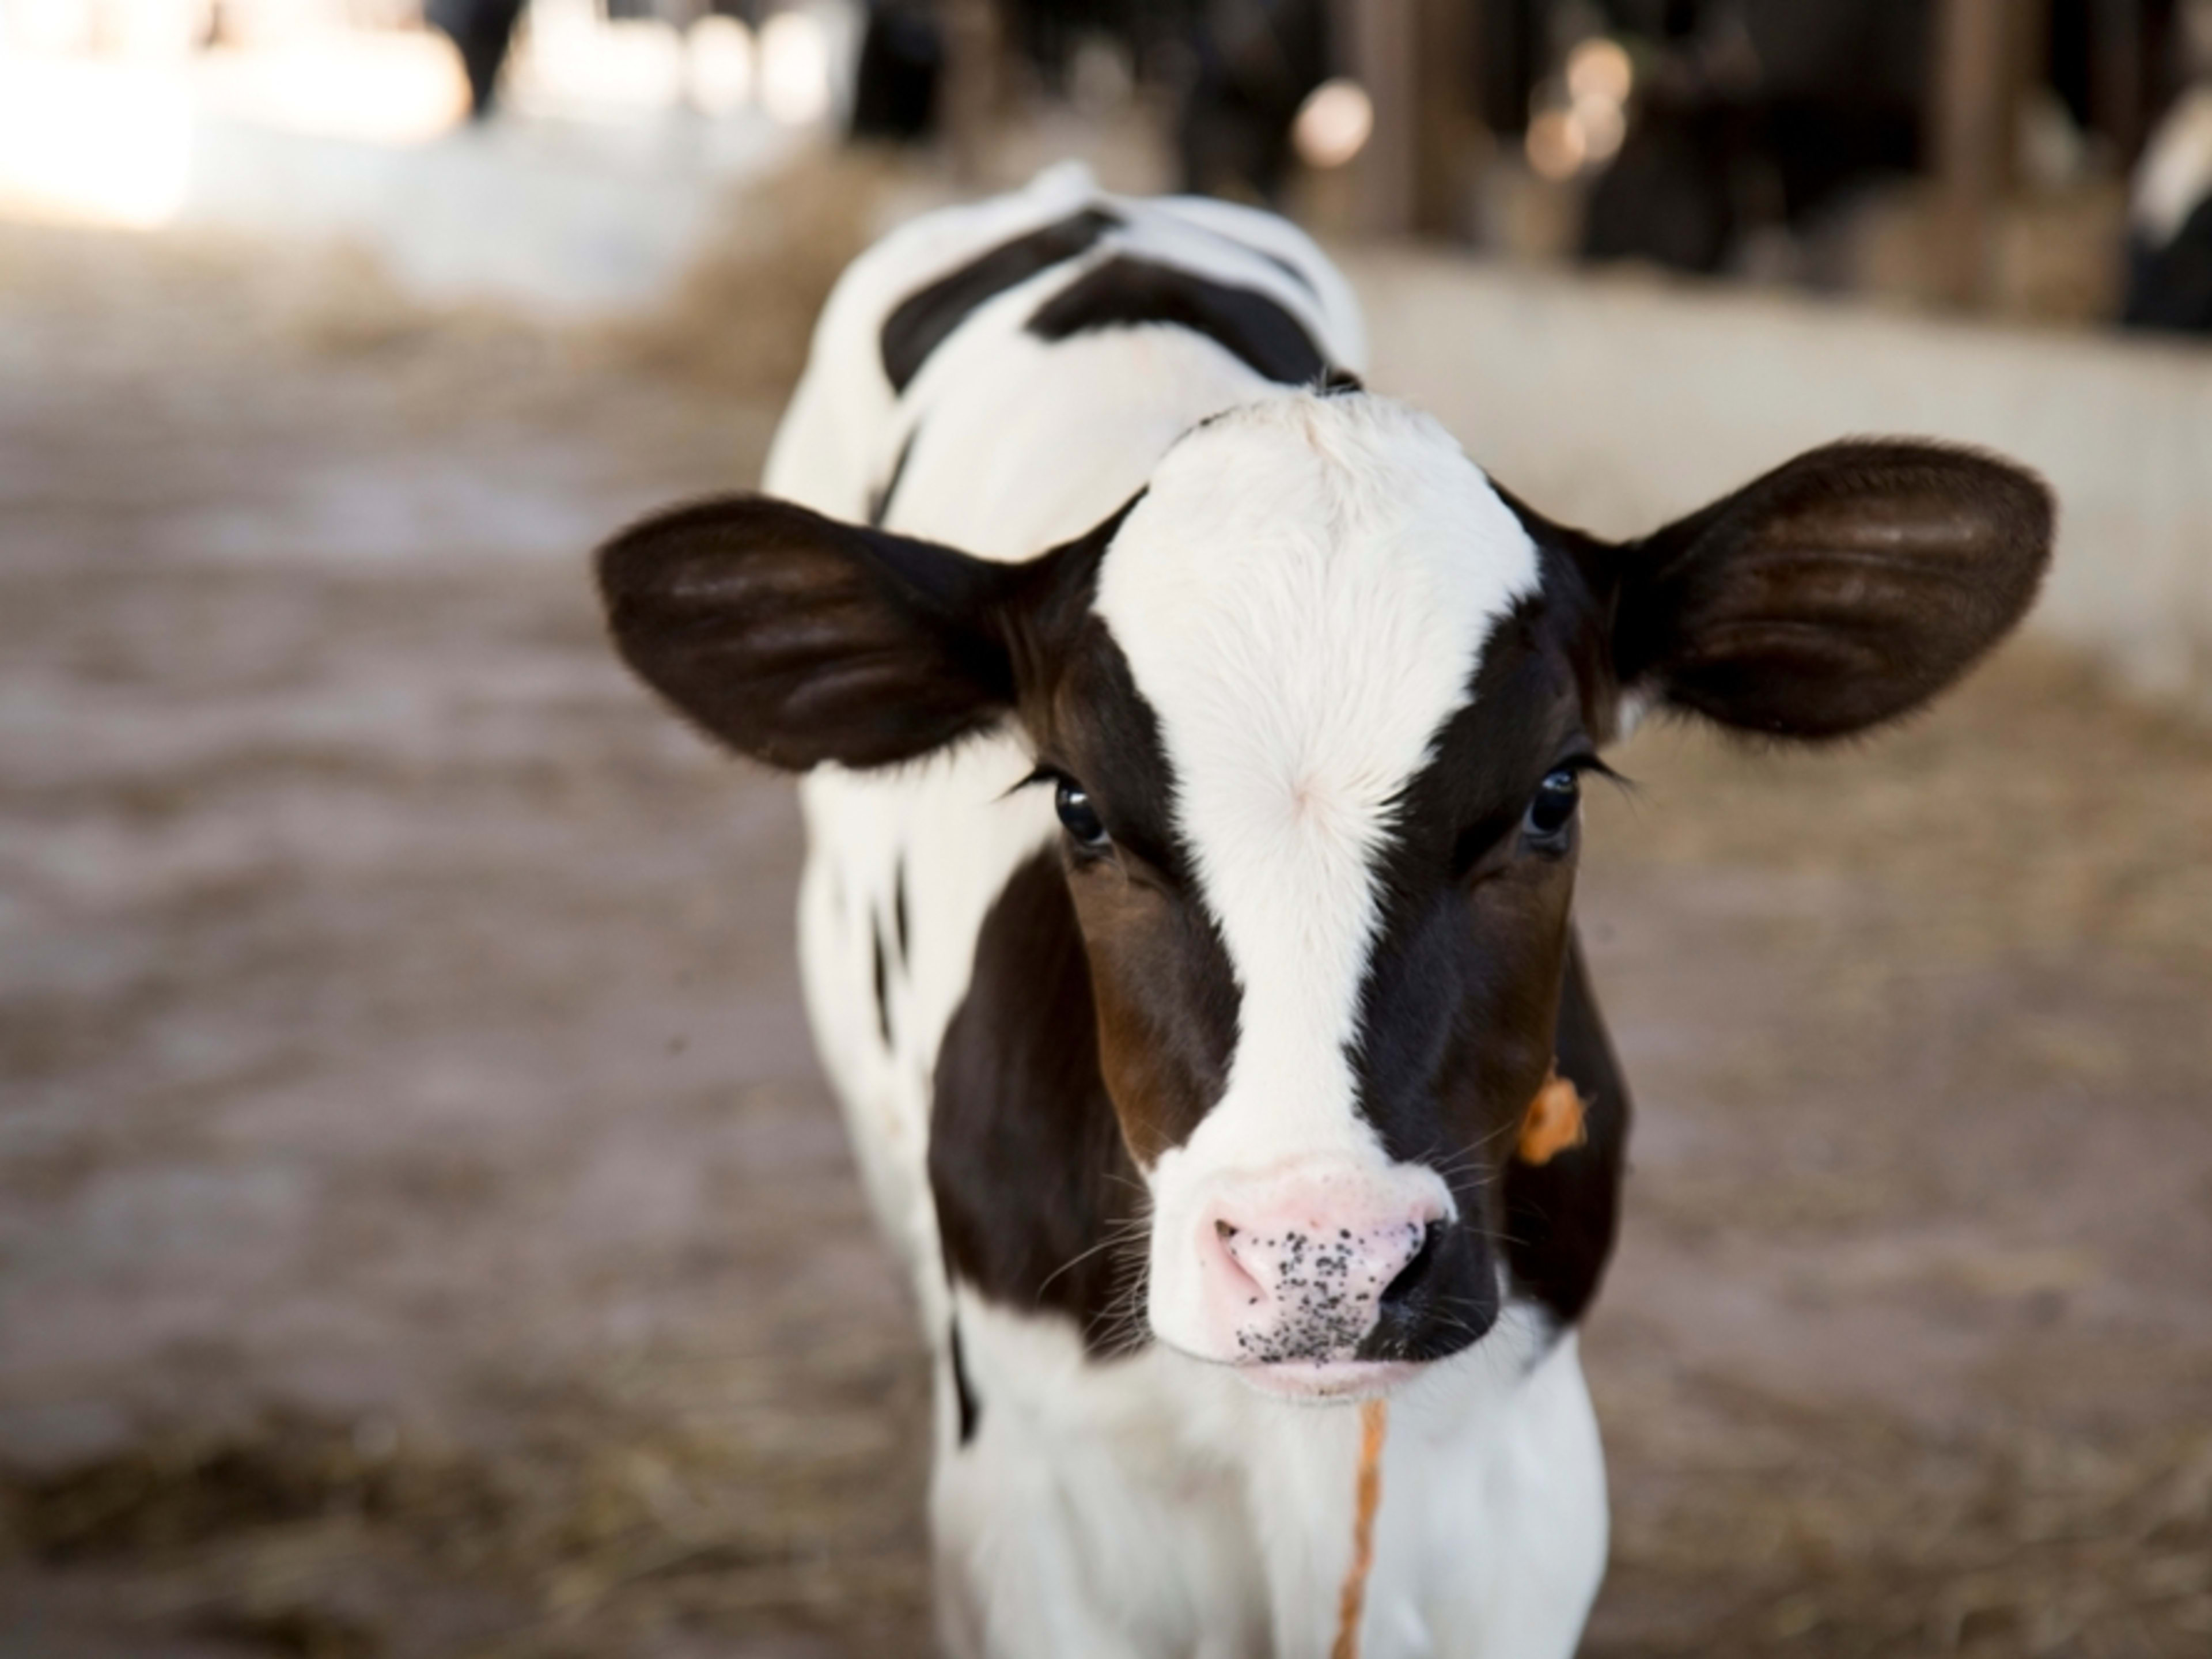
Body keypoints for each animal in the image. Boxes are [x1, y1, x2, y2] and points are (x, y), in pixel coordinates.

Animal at [596, 166, 2052, 1659]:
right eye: (1077, 804)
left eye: (1551, 792)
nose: (1325, 1262)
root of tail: (1087, 198)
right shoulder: (1034, 1517)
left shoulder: (1525, 1496)